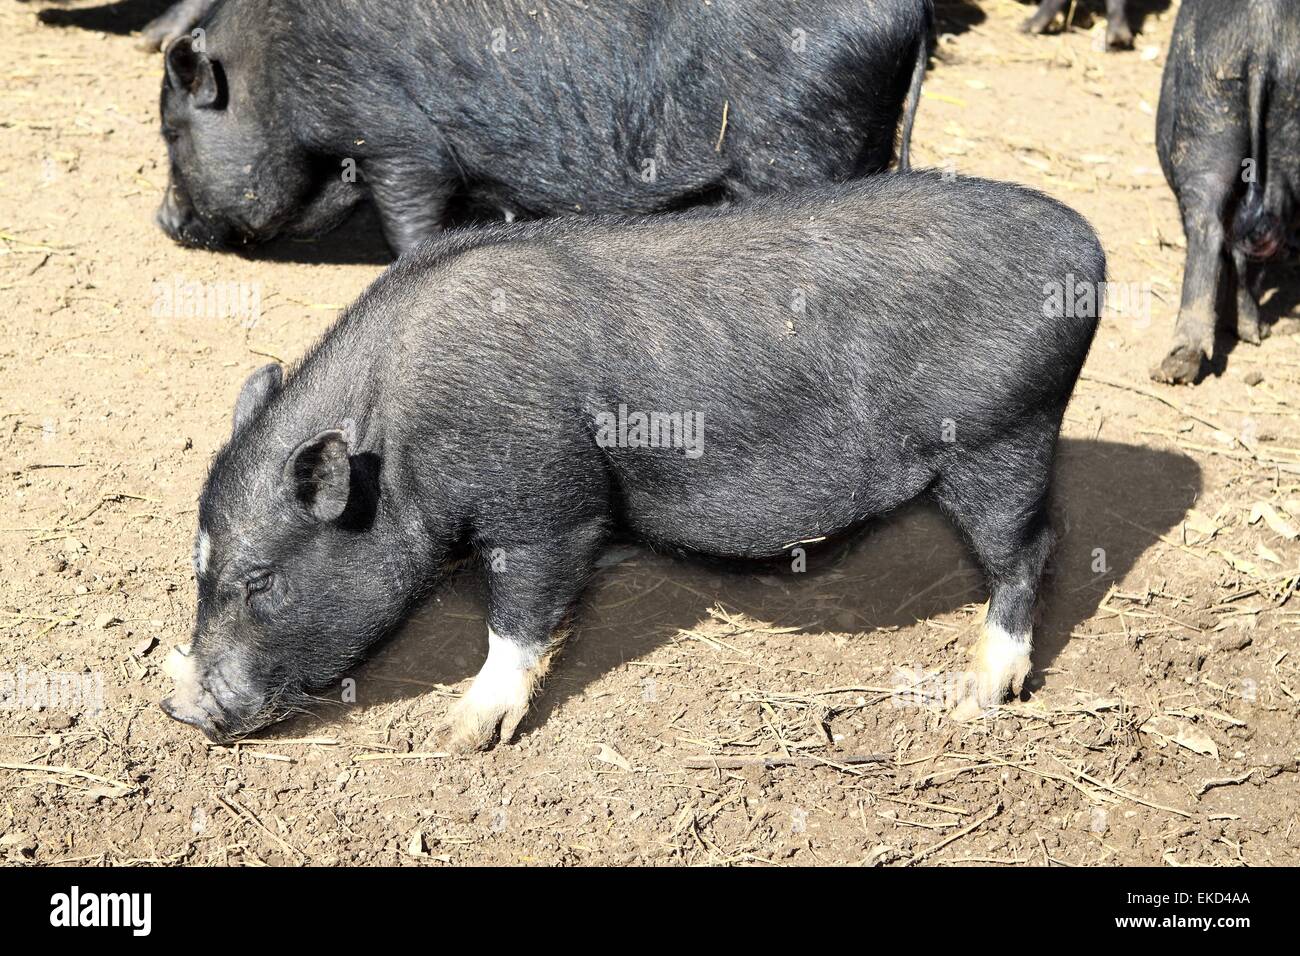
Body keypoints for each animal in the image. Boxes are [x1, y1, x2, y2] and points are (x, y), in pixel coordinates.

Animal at [156, 0, 933, 256]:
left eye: (172, 132)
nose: (162, 220)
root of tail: (910, 10)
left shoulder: (398, 136)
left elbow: (409, 223)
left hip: (802, 141)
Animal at [160, 171, 1105, 750]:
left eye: (259, 582)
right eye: (199, 575)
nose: (180, 707)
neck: (399, 435)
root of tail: (1087, 247)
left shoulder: (547, 504)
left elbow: (519, 617)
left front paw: (463, 732)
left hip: (1004, 436)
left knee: (1030, 550)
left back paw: (976, 694)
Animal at [1151, 0, 1300, 385]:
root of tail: (1262, 42)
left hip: (1203, 113)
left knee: (1209, 228)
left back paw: (1179, 366)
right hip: (1278, 132)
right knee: (1260, 233)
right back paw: (1246, 334)